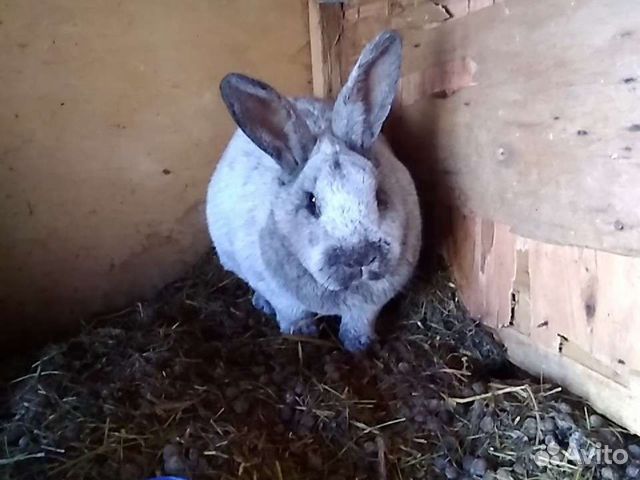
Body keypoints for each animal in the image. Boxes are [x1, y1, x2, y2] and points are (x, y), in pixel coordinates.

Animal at [205, 30, 422, 352]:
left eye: (379, 195)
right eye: (311, 202)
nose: (359, 258)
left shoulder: (370, 305)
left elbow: (359, 321)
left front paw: (359, 346)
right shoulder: (282, 296)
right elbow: (291, 313)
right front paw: (302, 334)